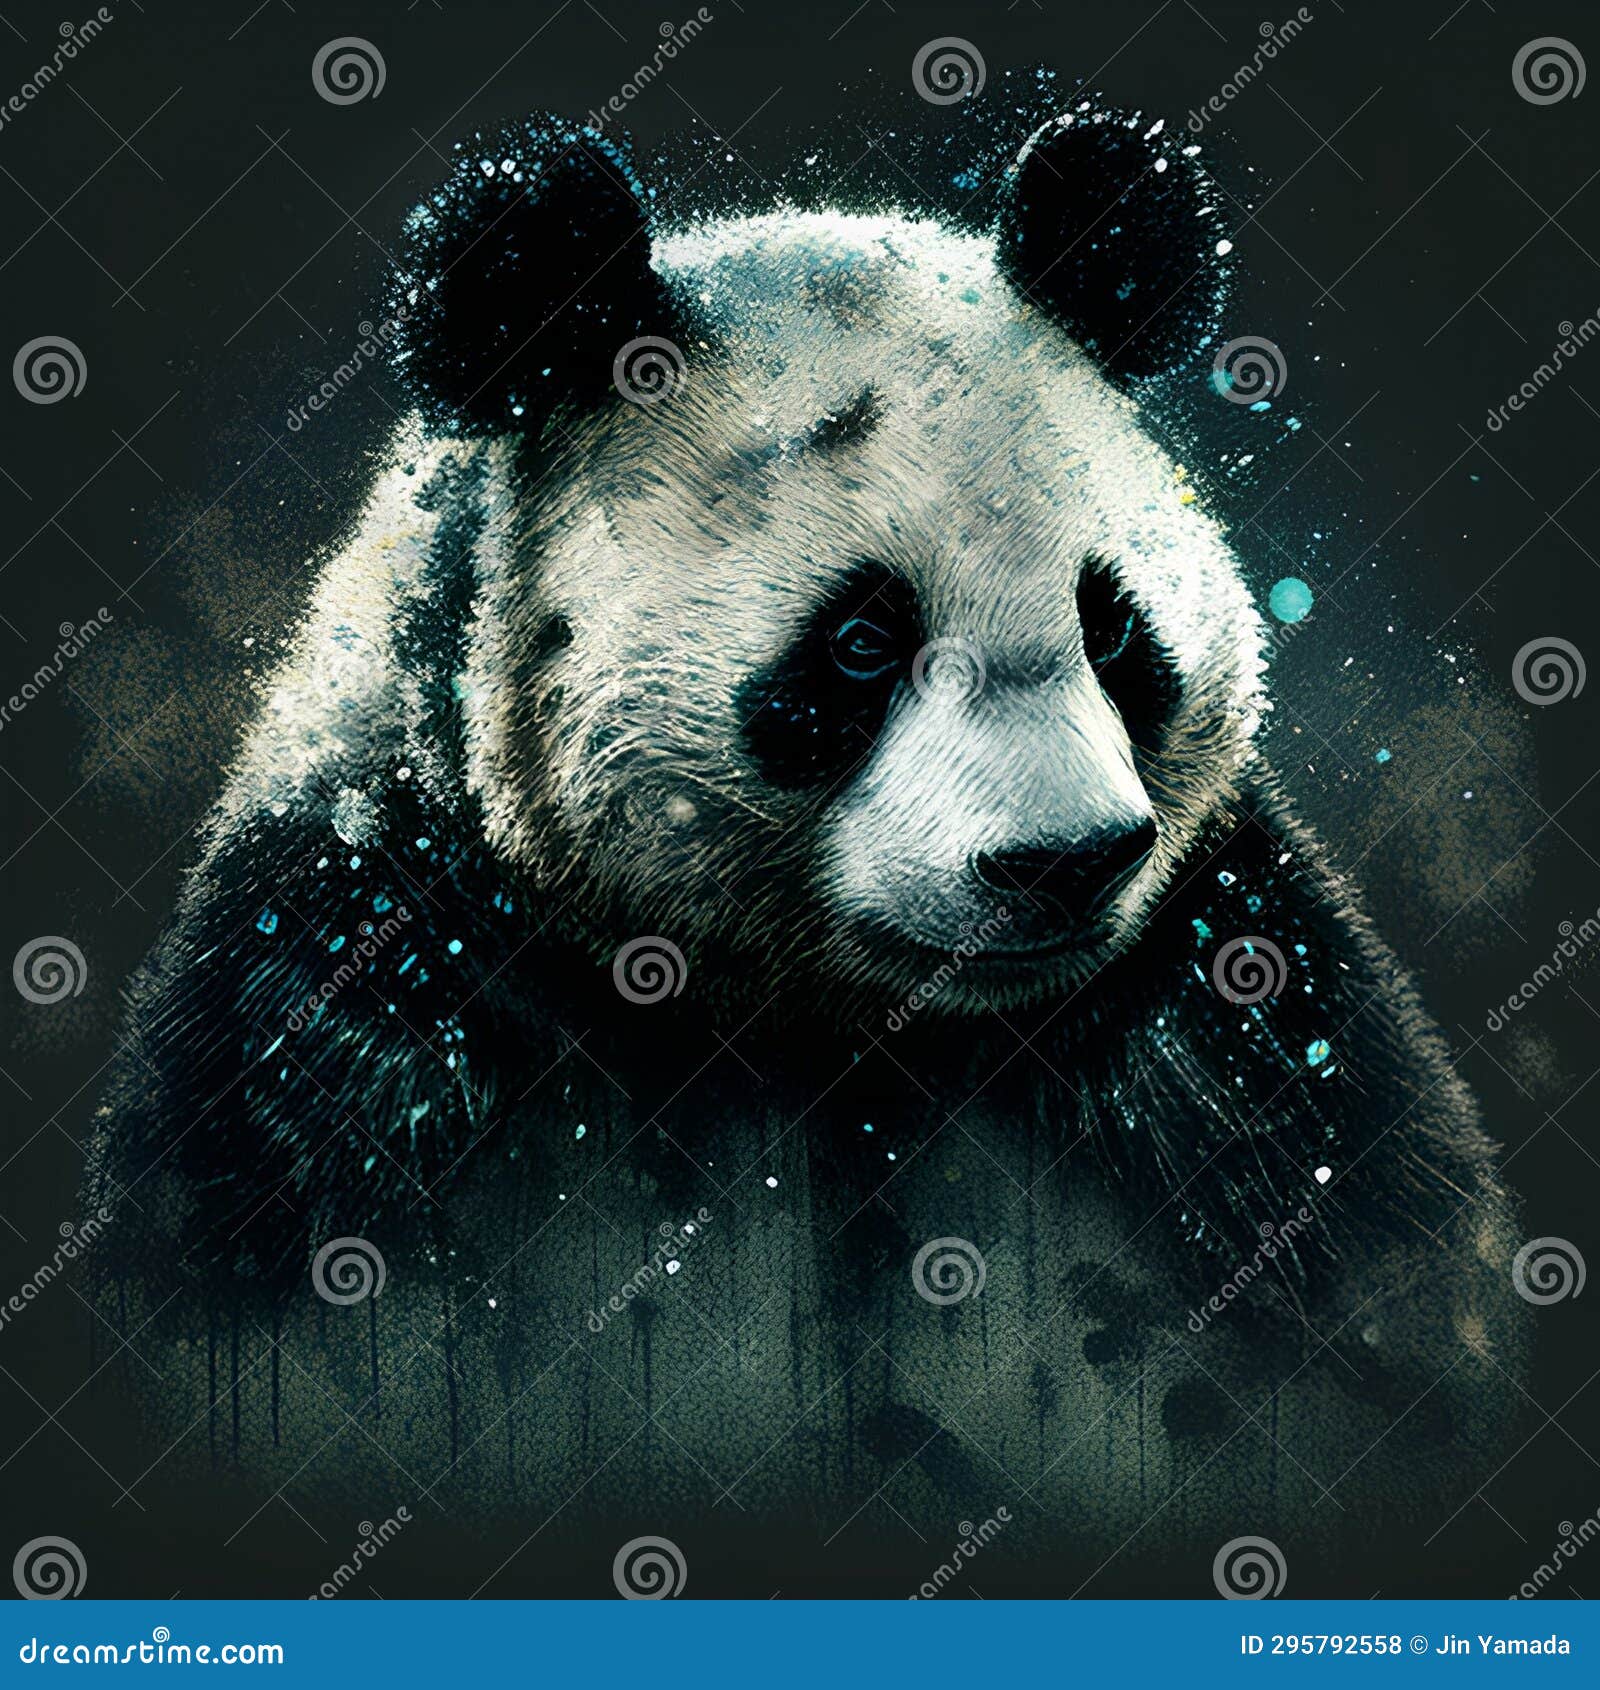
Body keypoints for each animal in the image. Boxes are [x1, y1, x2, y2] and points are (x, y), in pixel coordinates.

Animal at [87, 102, 1529, 1597]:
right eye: (860, 643)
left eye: (1113, 623)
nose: (1065, 860)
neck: (813, 1032)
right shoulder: (360, 1004)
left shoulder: (1232, 1030)